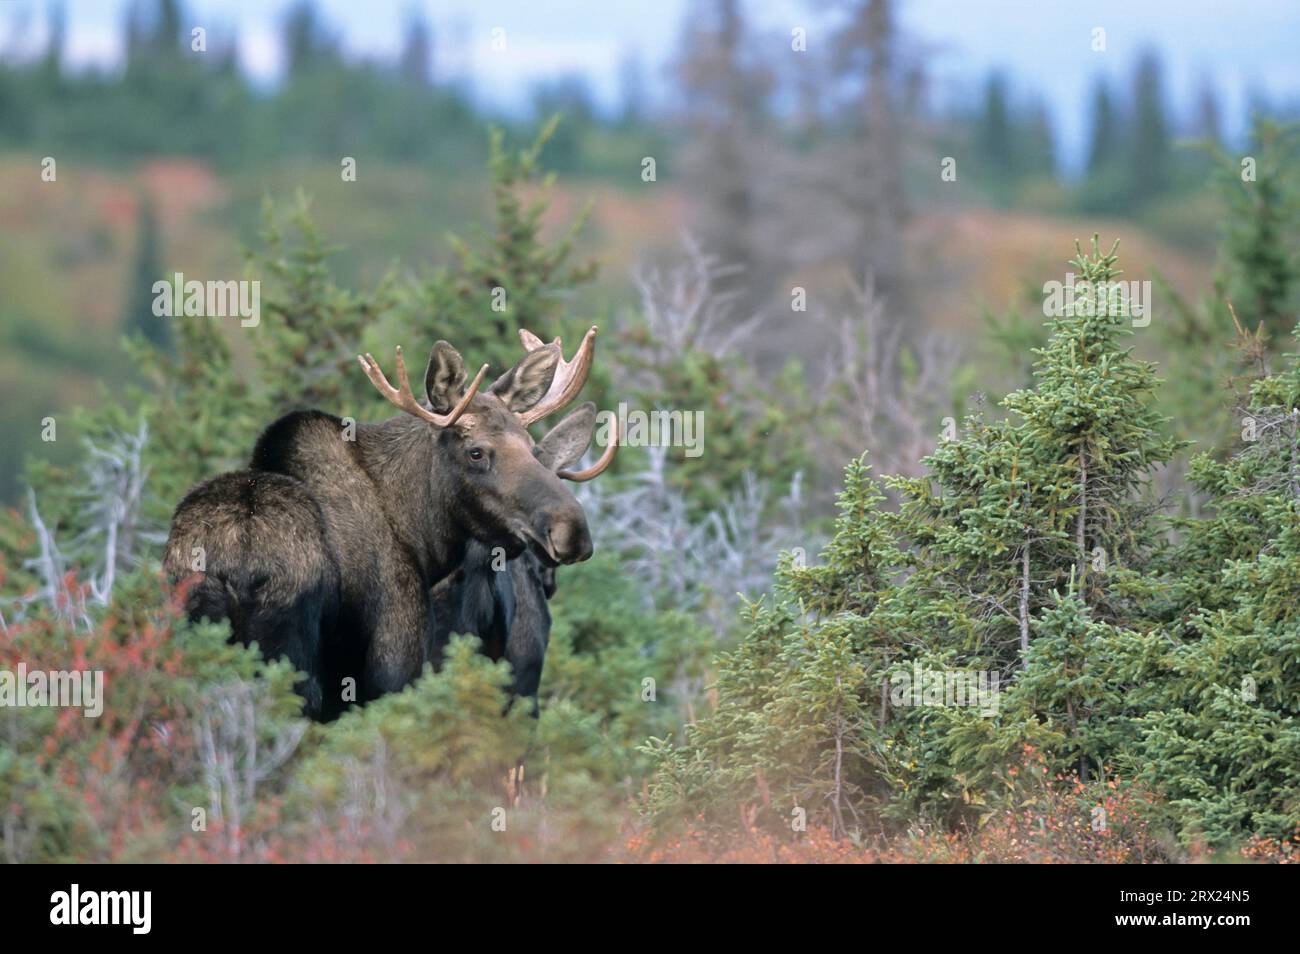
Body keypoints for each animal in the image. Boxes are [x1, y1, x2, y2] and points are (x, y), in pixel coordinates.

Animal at [163, 327, 616, 721]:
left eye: (531, 448)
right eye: (475, 452)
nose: (572, 531)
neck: (422, 541)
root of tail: (233, 567)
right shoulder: (393, 670)